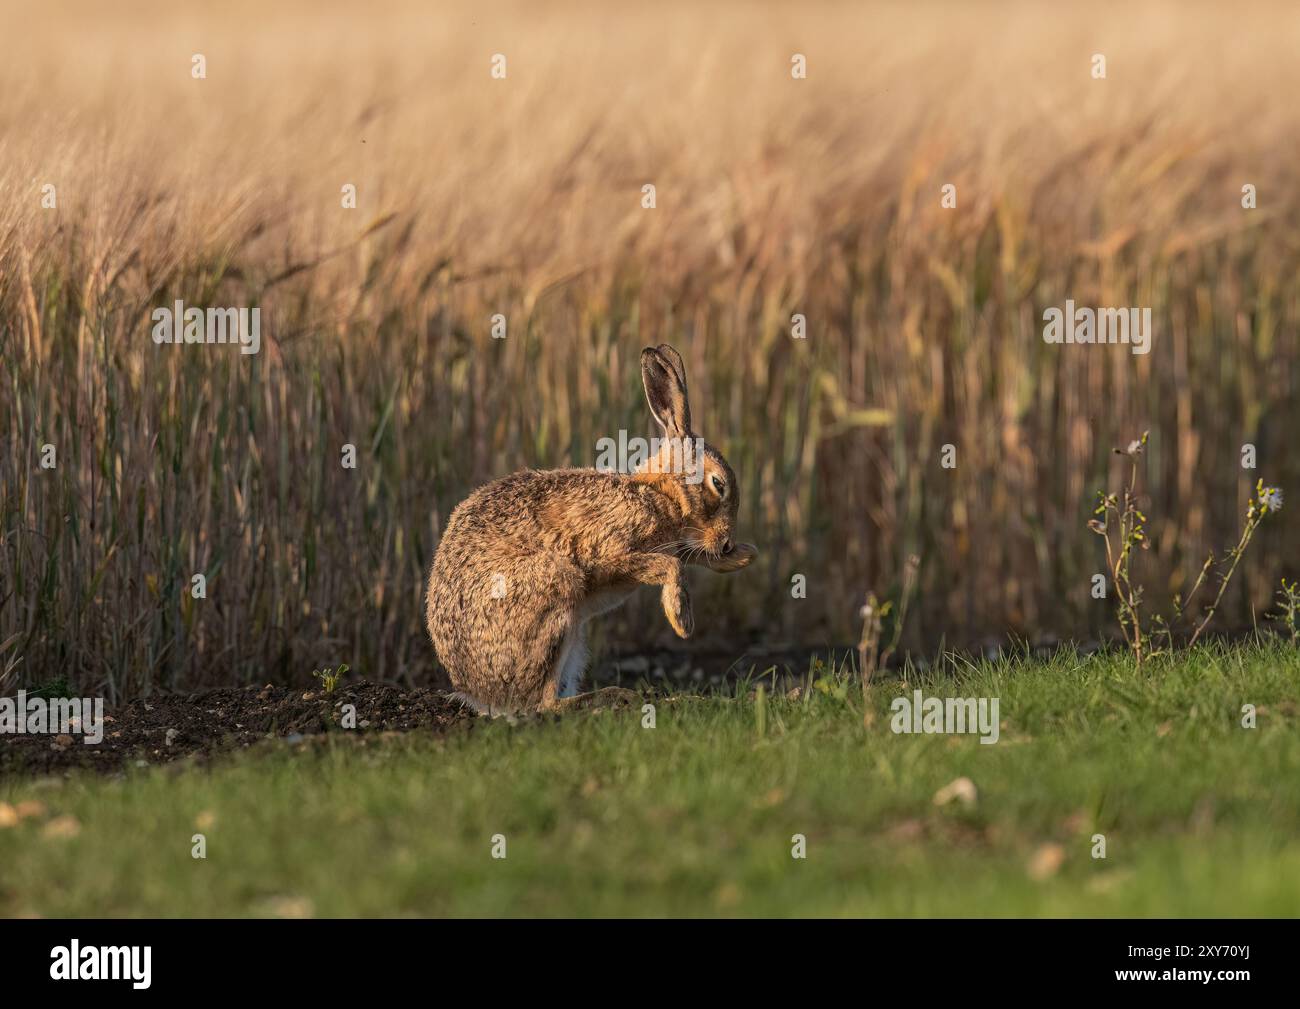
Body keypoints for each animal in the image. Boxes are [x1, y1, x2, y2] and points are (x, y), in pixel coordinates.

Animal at [426, 344, 757, 714]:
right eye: (718, 484)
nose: (727, 543)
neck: (658, 493)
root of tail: (479, 693)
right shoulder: (610, 552)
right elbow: (669, 564)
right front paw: (681, 619)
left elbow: (686, 556)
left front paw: (742, 557)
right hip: (557, 589)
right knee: (544, 704)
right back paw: (616, 696)